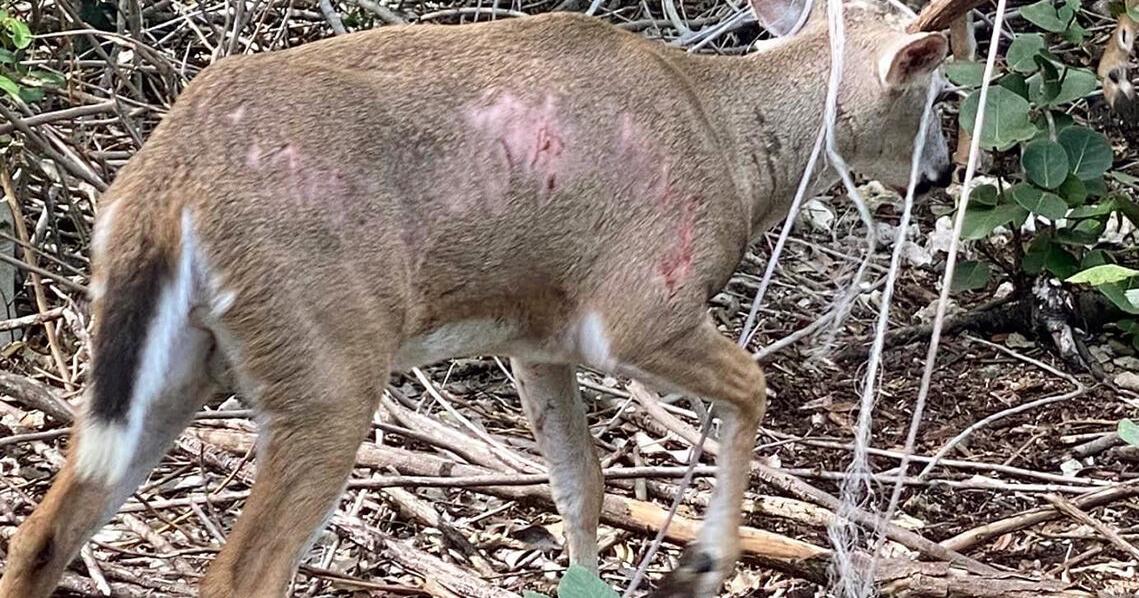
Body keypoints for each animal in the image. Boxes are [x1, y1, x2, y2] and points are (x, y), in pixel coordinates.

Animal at [0, 0, 968, 595]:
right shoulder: (639, 305)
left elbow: (582, 480)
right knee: (241, 572)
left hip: (168, 365)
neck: (734, 148)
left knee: (41, 536)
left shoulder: (538, 337)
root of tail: (166, 188)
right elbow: (752, 385)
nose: (943, 174)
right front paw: (702, 563)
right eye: (939, 93)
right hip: (326, 354)